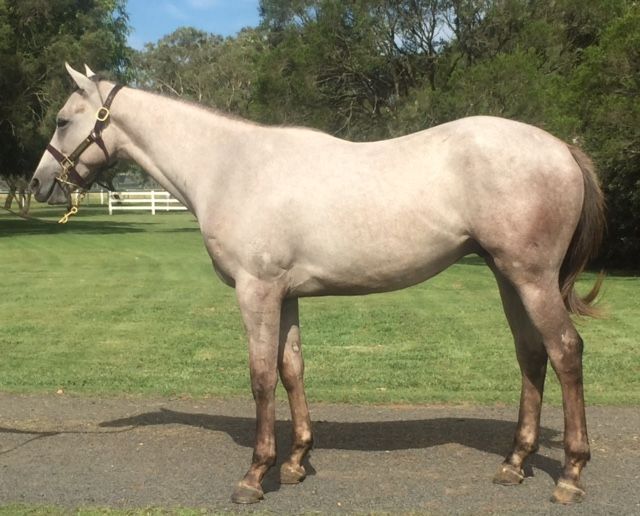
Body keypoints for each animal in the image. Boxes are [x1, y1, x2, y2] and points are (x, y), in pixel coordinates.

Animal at [30, 63, 604, 505]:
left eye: (62, 120)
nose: (38, 183)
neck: (228, 165)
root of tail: (561, 147)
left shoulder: (256, 290)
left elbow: (261, 377)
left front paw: (255, 474)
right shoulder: (284, 296)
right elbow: (292, 369)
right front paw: (296, 462)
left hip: (531, 278)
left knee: (565, 350)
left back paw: (571, 475)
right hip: (508, 276)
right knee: (532, 355)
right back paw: (515, 462)